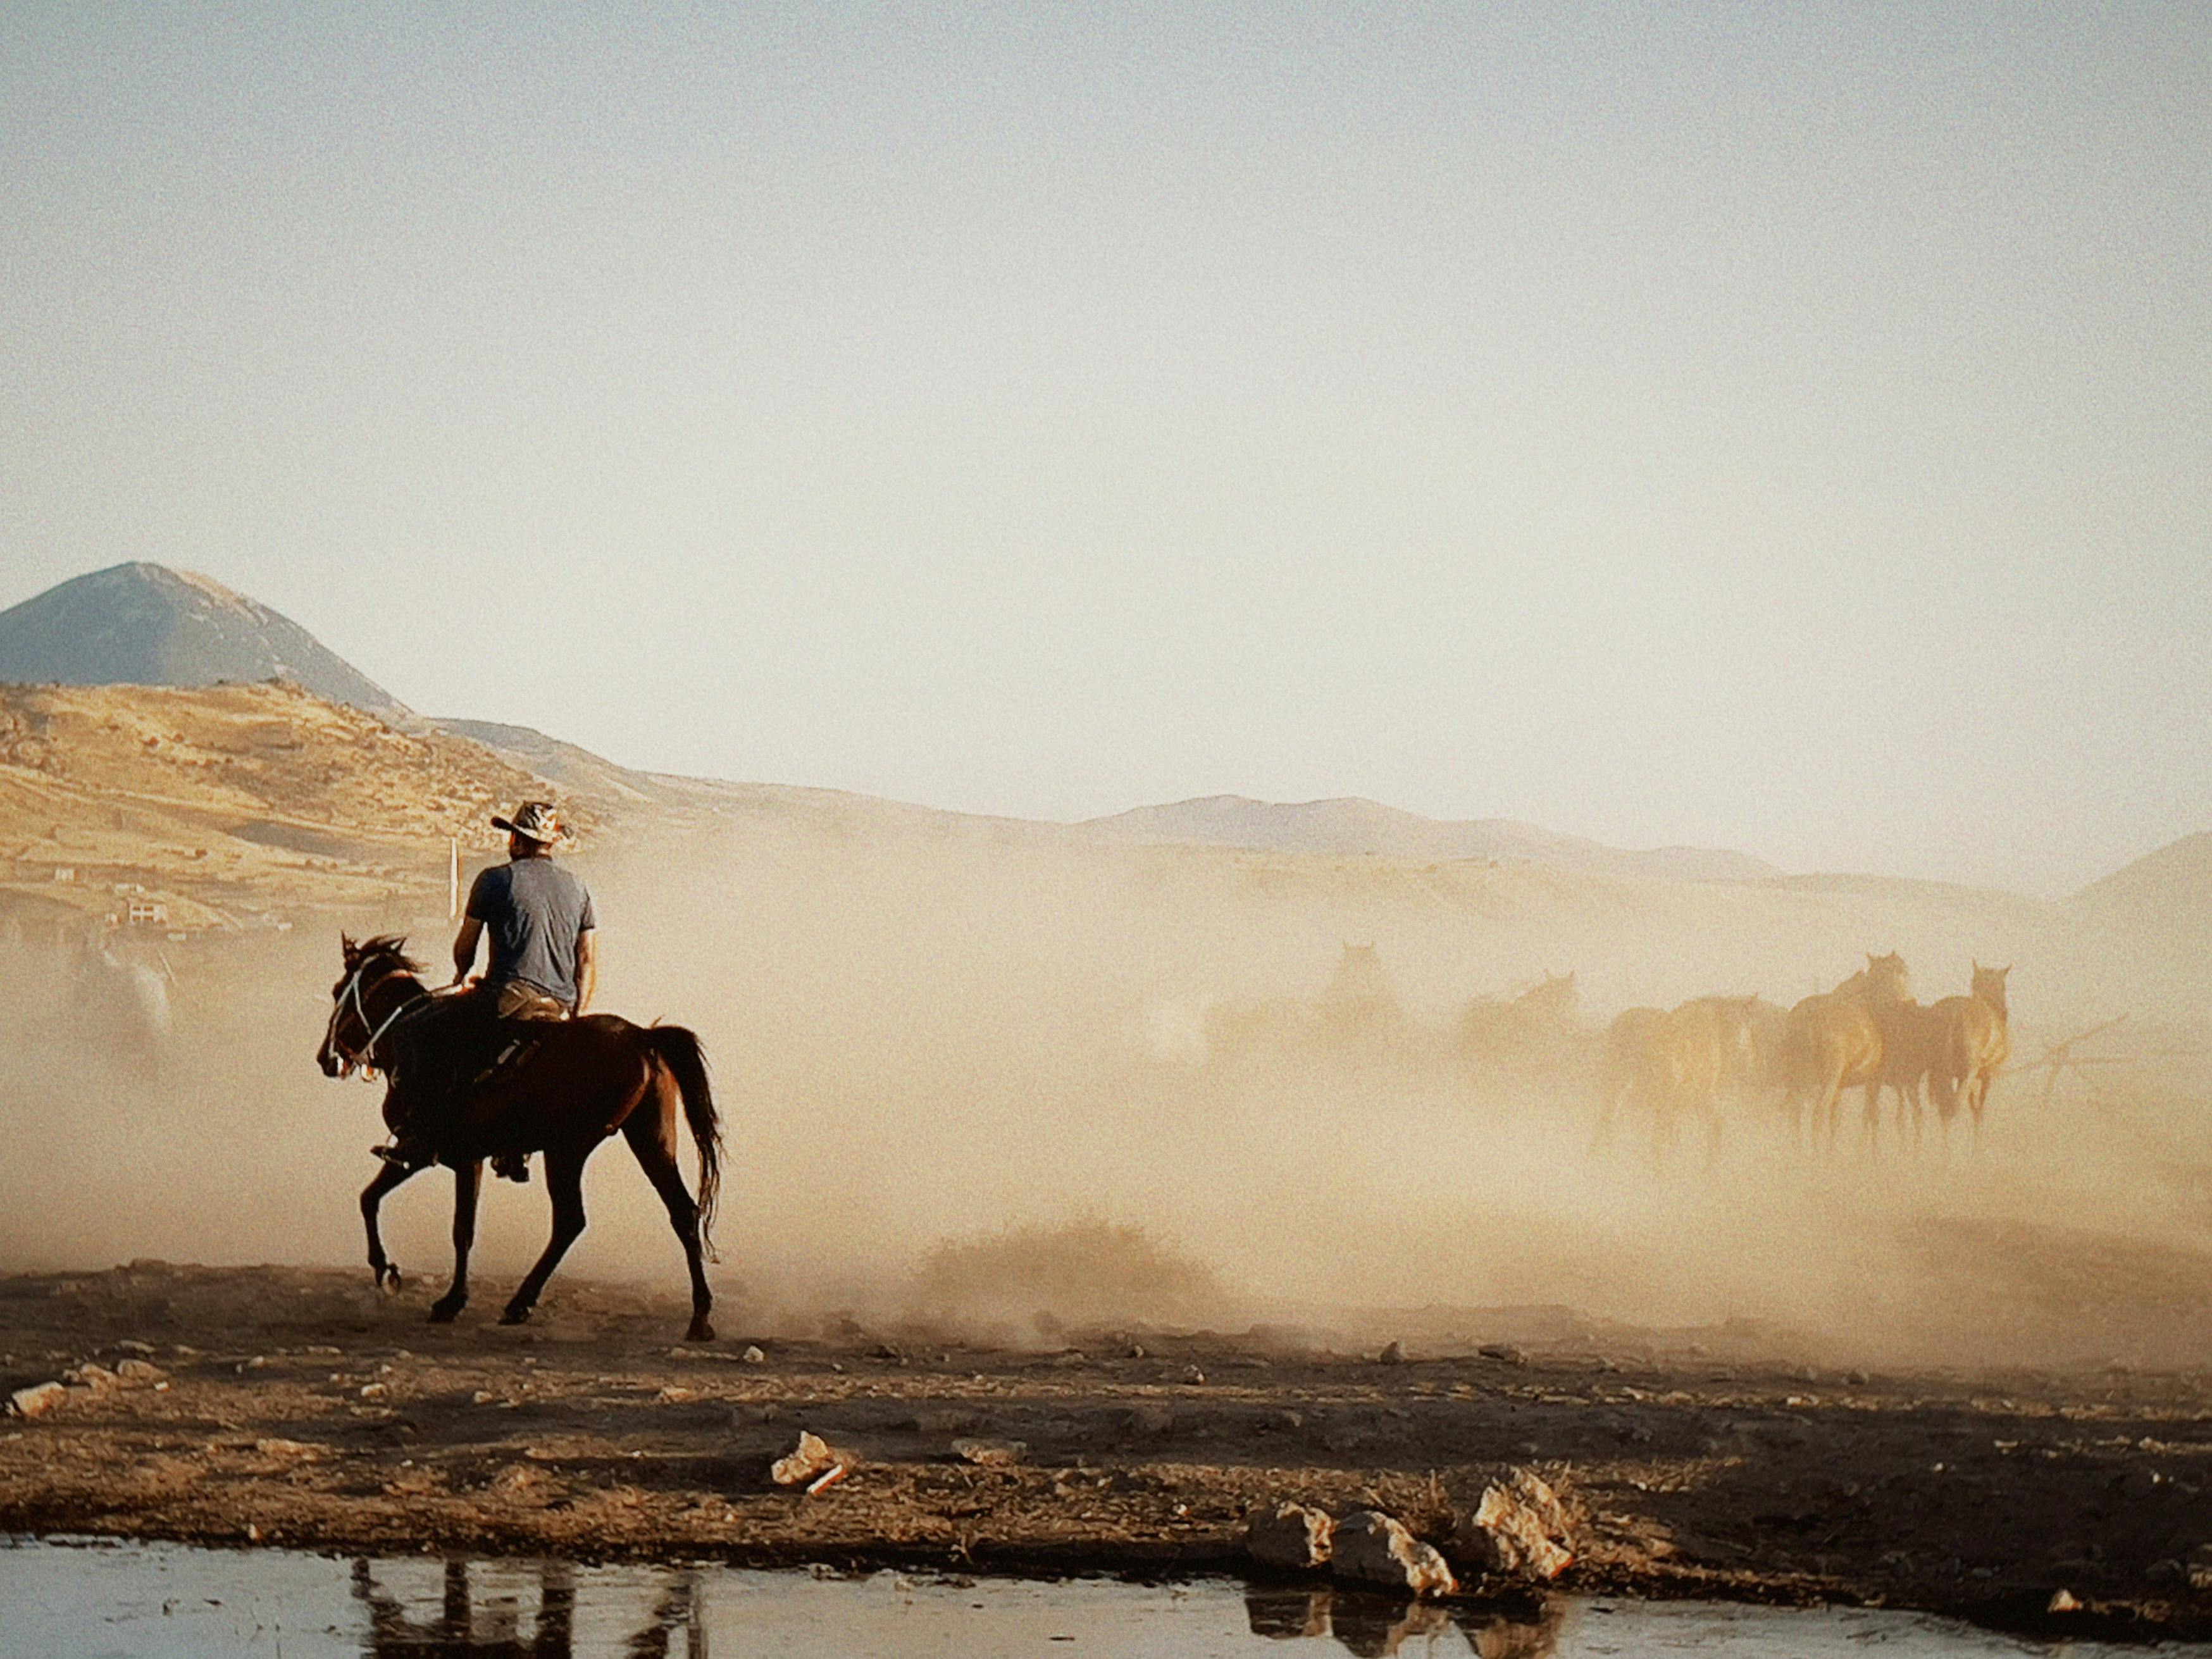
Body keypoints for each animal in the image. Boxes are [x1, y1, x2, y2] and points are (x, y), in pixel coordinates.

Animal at [317, 935, 724, 1341]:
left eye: (339, 991)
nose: (326, 1059)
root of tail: (643, 1037)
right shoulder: (453, 1157)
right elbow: (391, 1204)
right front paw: (407, 1280)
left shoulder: (427, 1151)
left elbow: (445, 1223)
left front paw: (432, 1292)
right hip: (651, 1139)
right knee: (683, 1213)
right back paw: (700, 1317)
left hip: (567, 1148)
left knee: (570, 1221)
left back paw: (520, 1302)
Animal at [1779, 953, 1910, 1151]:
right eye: (1900, 971)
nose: (1906, 1002)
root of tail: (1808, 1018)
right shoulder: (1874, 1080)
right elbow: (1872, 1115)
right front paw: (1871, 1153)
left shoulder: (1841, 1086)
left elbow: (1837, 1119)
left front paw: (1832, 1153)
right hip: (1825, 1080)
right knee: (1817, 1113)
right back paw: (1813, 1153)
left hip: (1800, 1079)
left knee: (1796, 1112)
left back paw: (1798, 1151)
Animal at [1929, 962, 2010, 1150]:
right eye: (2003, 985)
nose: (2005, 1013)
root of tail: (1952, 1013)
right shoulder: (1984, 1075)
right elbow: (1978, 1112)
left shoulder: (1962, 1077)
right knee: (1952, 1108)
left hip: (1940, 1074)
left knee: (1943, 1110)